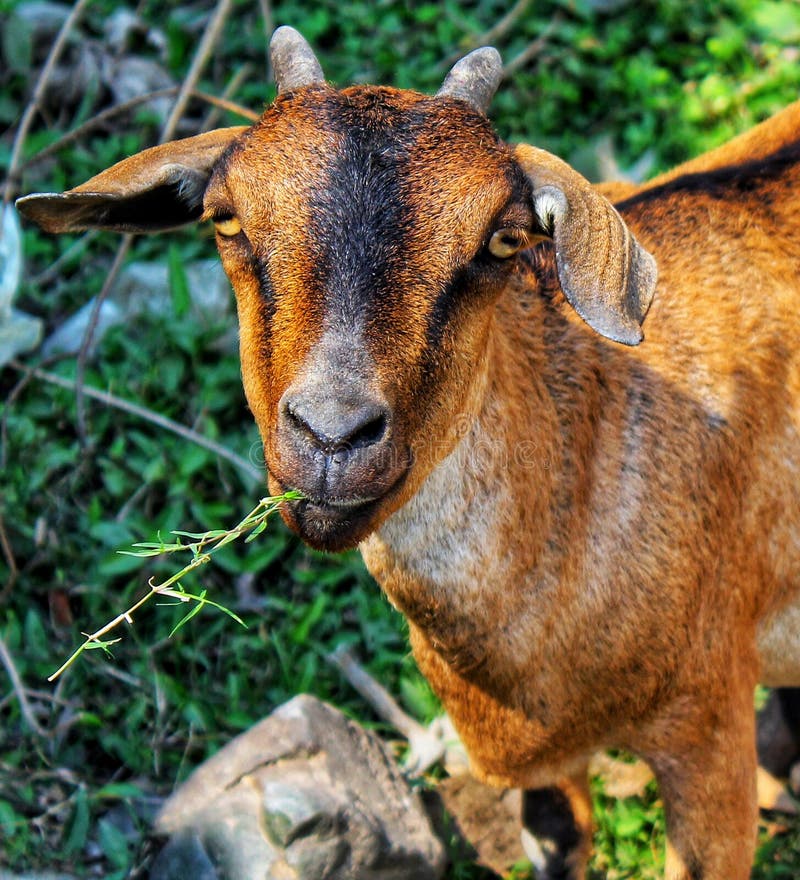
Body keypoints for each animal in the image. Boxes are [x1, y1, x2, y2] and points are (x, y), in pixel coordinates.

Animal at [17, 27, 800, 880]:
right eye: (225, 219)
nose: (332, 436)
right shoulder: (540, 761)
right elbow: (557, 841)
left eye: (503, 239)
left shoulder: (708, 725)